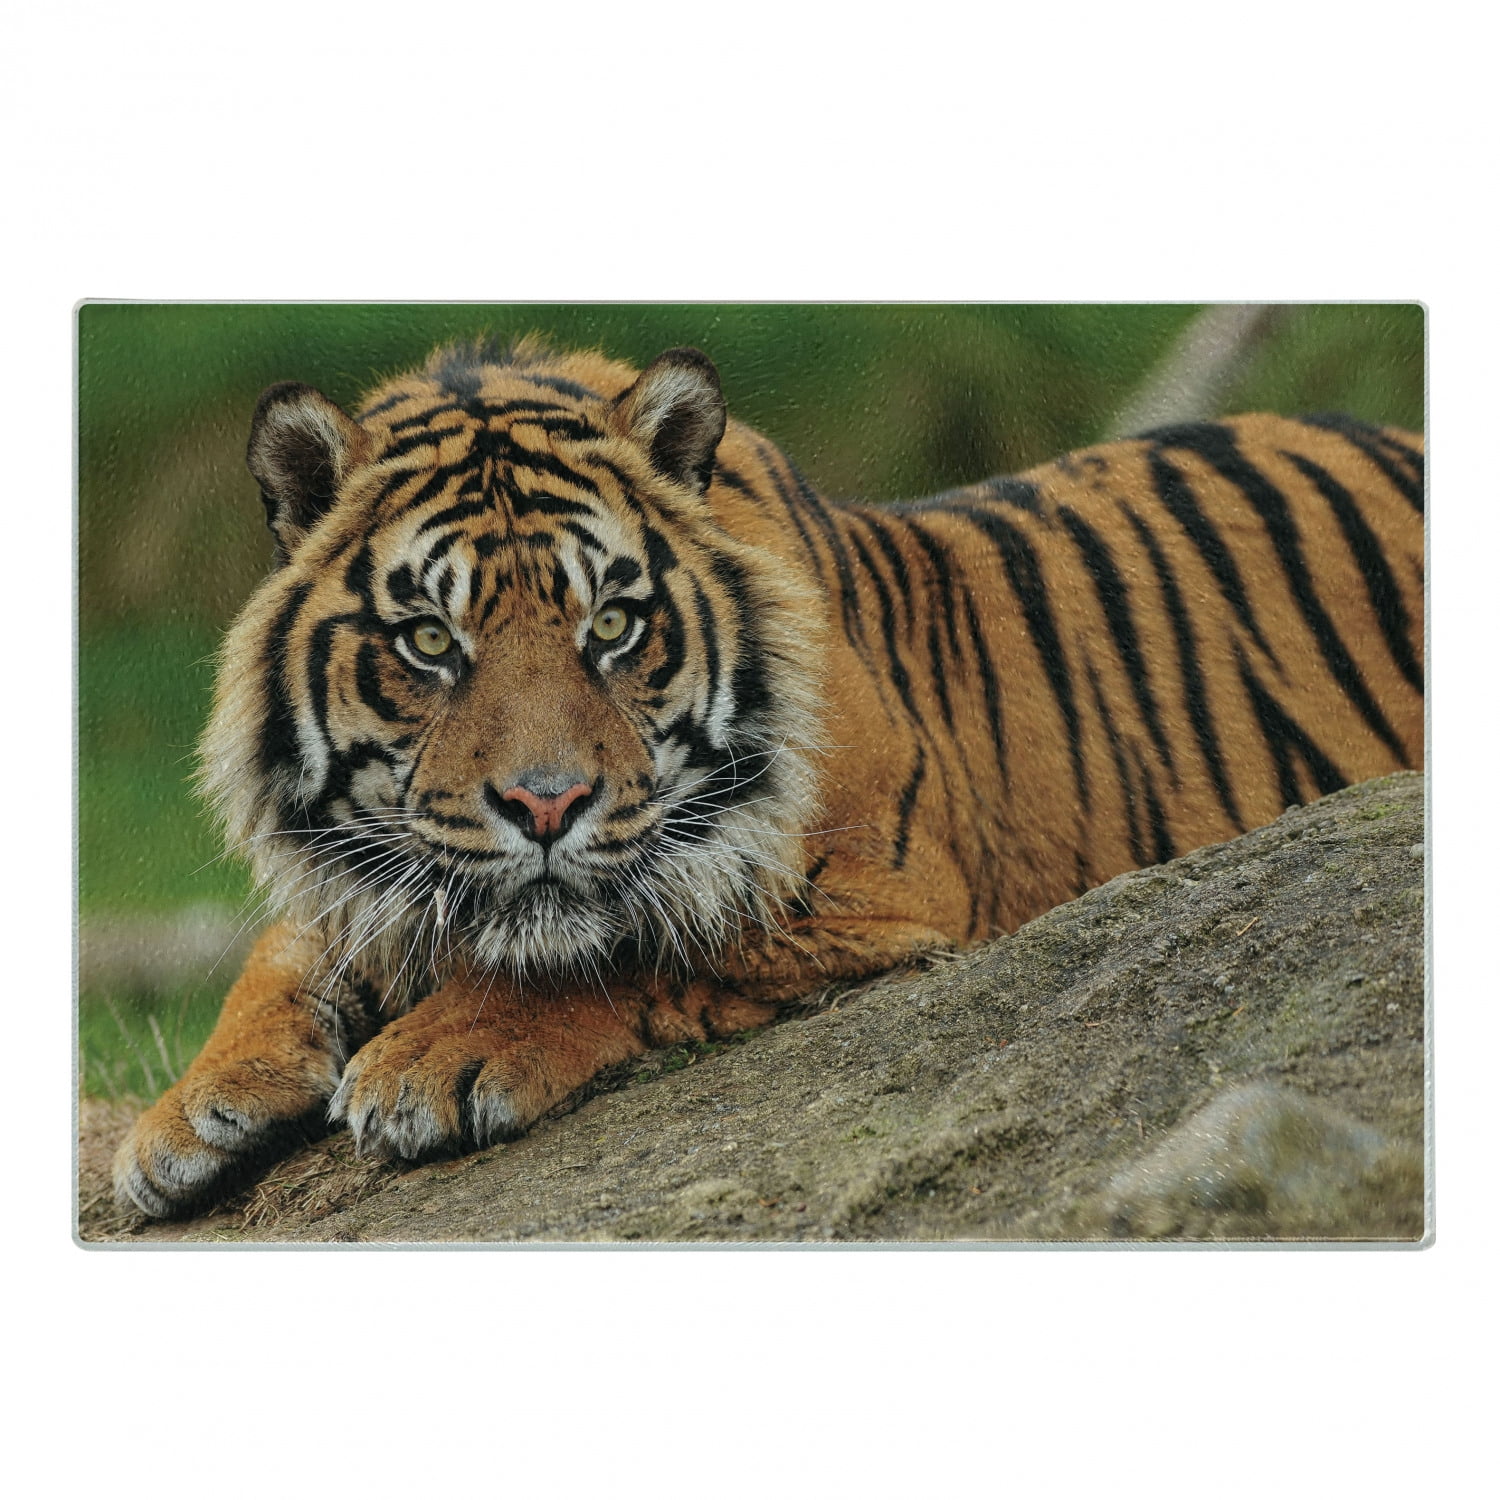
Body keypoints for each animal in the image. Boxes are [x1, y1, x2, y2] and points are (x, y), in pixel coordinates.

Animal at [111, 336, 1425, 1218]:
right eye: (431, 641)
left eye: (613, 626)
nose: (545, 806)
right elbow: (291, 945)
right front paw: (182, 1118)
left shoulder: (872, 894)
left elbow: (629, 946)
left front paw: (437, 1057)